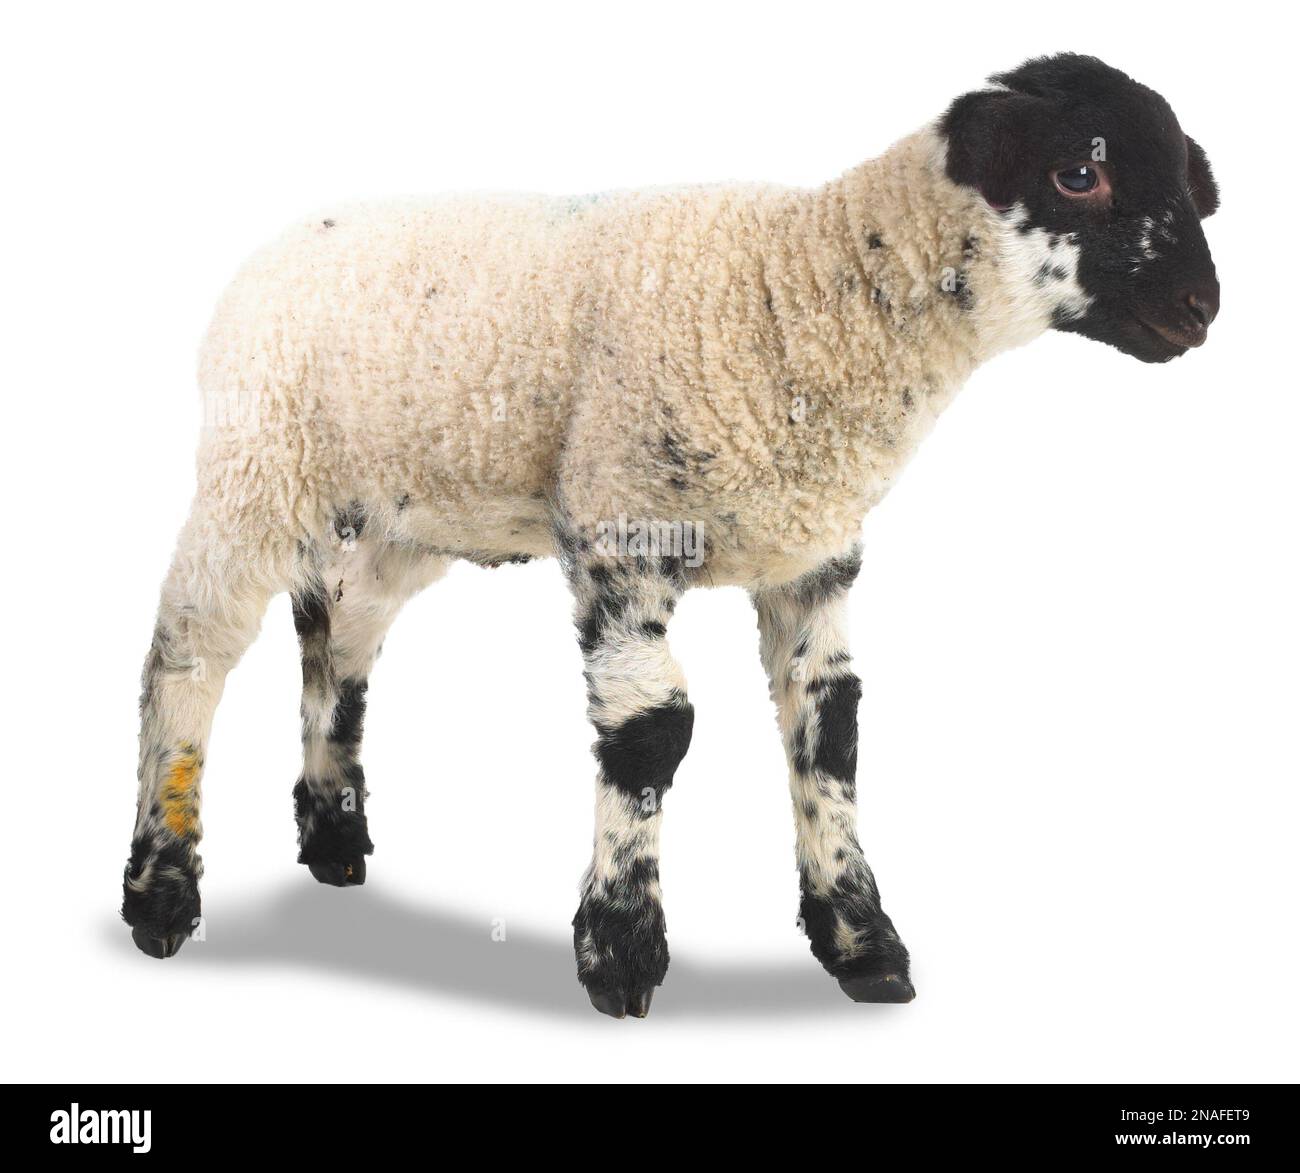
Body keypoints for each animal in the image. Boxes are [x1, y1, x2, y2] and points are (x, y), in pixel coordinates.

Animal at [122, 53, 1220, 1018]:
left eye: (1189, 184)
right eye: (1078, 173)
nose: (1201, 307)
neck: (814, 288)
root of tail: (280, 243)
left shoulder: (815, 558)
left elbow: (831, 730)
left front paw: (862, 942)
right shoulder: (622, 526)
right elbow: (651, 732)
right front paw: (620, 948)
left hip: (401, 509)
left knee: (339, 637)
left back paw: (334, 837)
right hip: (256, 468)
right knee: (188, 653)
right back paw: (161, 889)